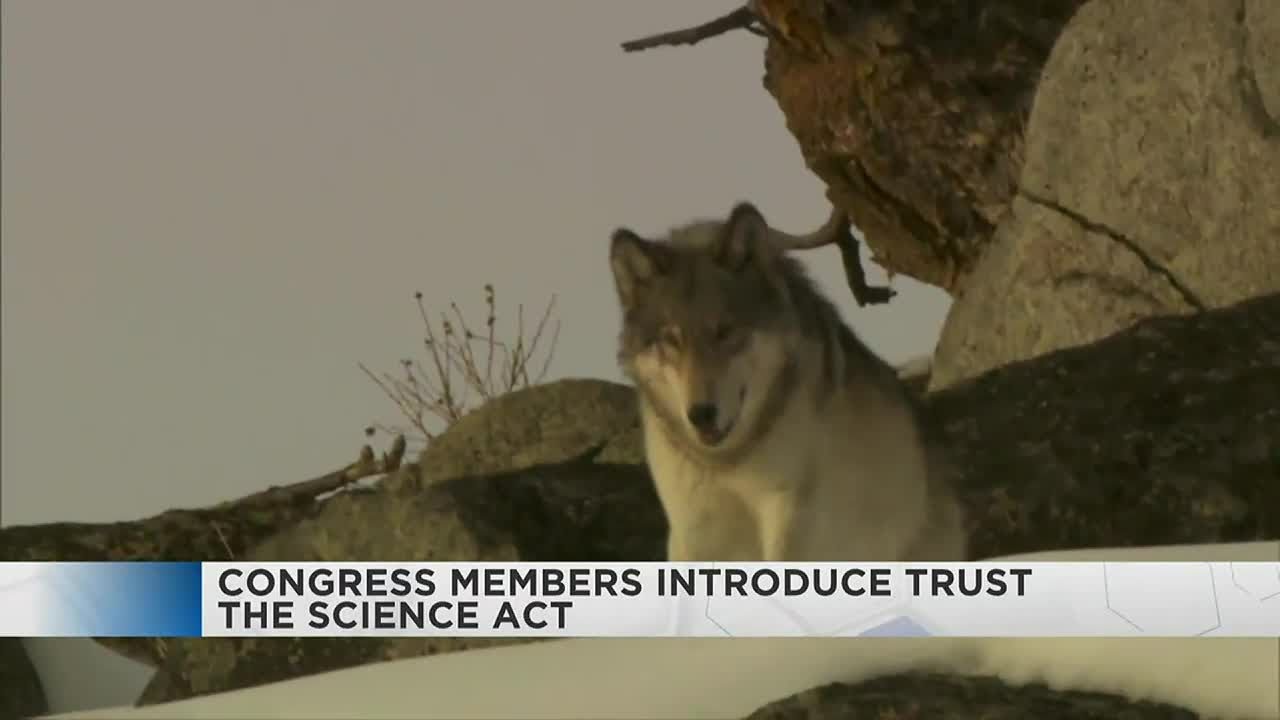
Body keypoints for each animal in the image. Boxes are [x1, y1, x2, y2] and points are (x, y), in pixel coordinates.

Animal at [608, 201, 967, 563]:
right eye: (671, 340)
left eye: (725, 331)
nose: (701, 415)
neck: (732, 460)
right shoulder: (693, 530)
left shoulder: (789, 514)